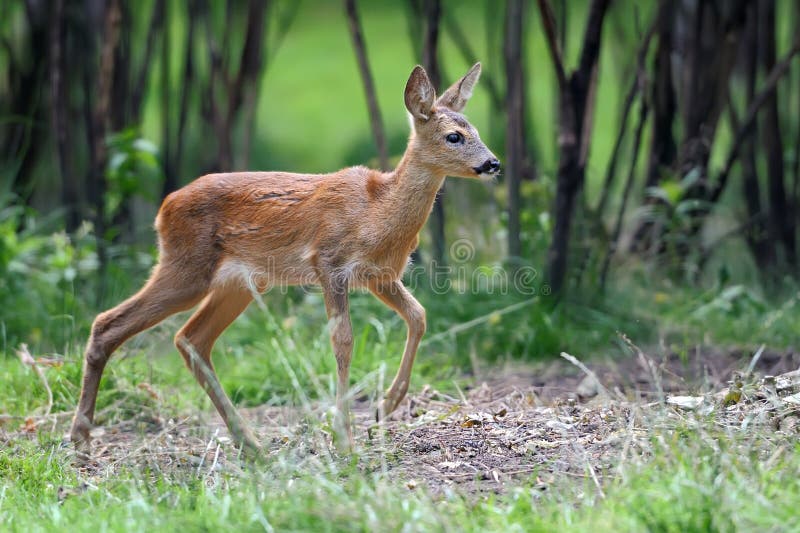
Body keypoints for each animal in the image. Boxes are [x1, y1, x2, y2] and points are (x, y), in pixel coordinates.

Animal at [69, 63, 500, 454]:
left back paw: (250, 444)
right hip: (186, 267)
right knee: (109, 323)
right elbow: (343, 340)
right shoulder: (328, 262)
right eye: (454, 136)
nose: (493, 163)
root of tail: (163, 208)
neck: (377, 213)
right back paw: (80, 438)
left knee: (190, 339)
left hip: (238, 284)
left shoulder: (379, 275)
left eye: (477, 131)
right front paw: (345, 438)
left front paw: (385, 405)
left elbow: (419, 316)